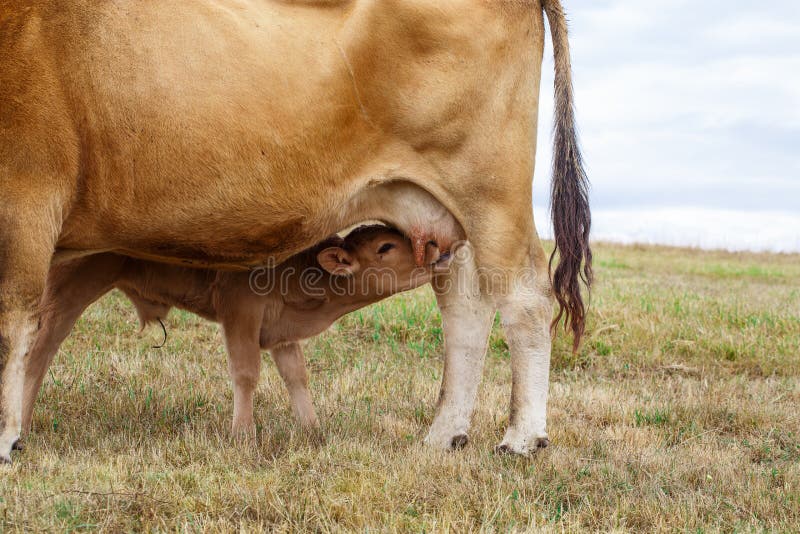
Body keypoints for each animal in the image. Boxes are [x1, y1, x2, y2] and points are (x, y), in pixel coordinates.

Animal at [22, 224, 447, 436]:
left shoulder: (282, 333)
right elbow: (245, 373)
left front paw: (312, 430)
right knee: (37, 354)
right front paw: (243, 434)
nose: (438, 250)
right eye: (386, 246)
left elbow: (297, 376)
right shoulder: (240, 311)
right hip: (67, 294)